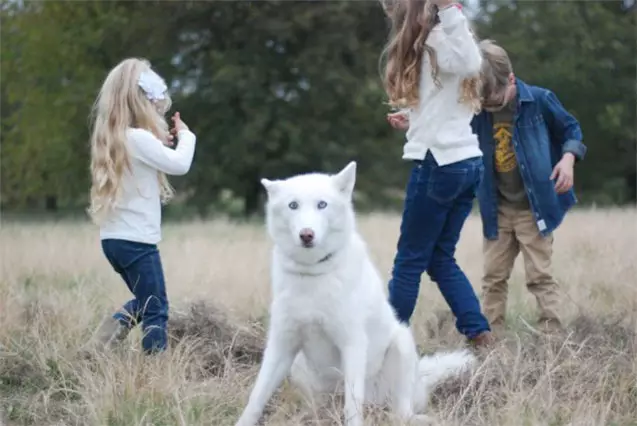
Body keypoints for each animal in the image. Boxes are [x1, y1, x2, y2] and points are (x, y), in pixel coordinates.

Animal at [236, 163, 474, 426]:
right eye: (293, 205)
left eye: (322, 204)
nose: (306, 234)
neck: (313, 273)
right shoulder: (281, 345)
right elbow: (257, 396)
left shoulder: (352, 344)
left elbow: (352, 405)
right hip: (299, 368)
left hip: (400, 344)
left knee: (400, 412)